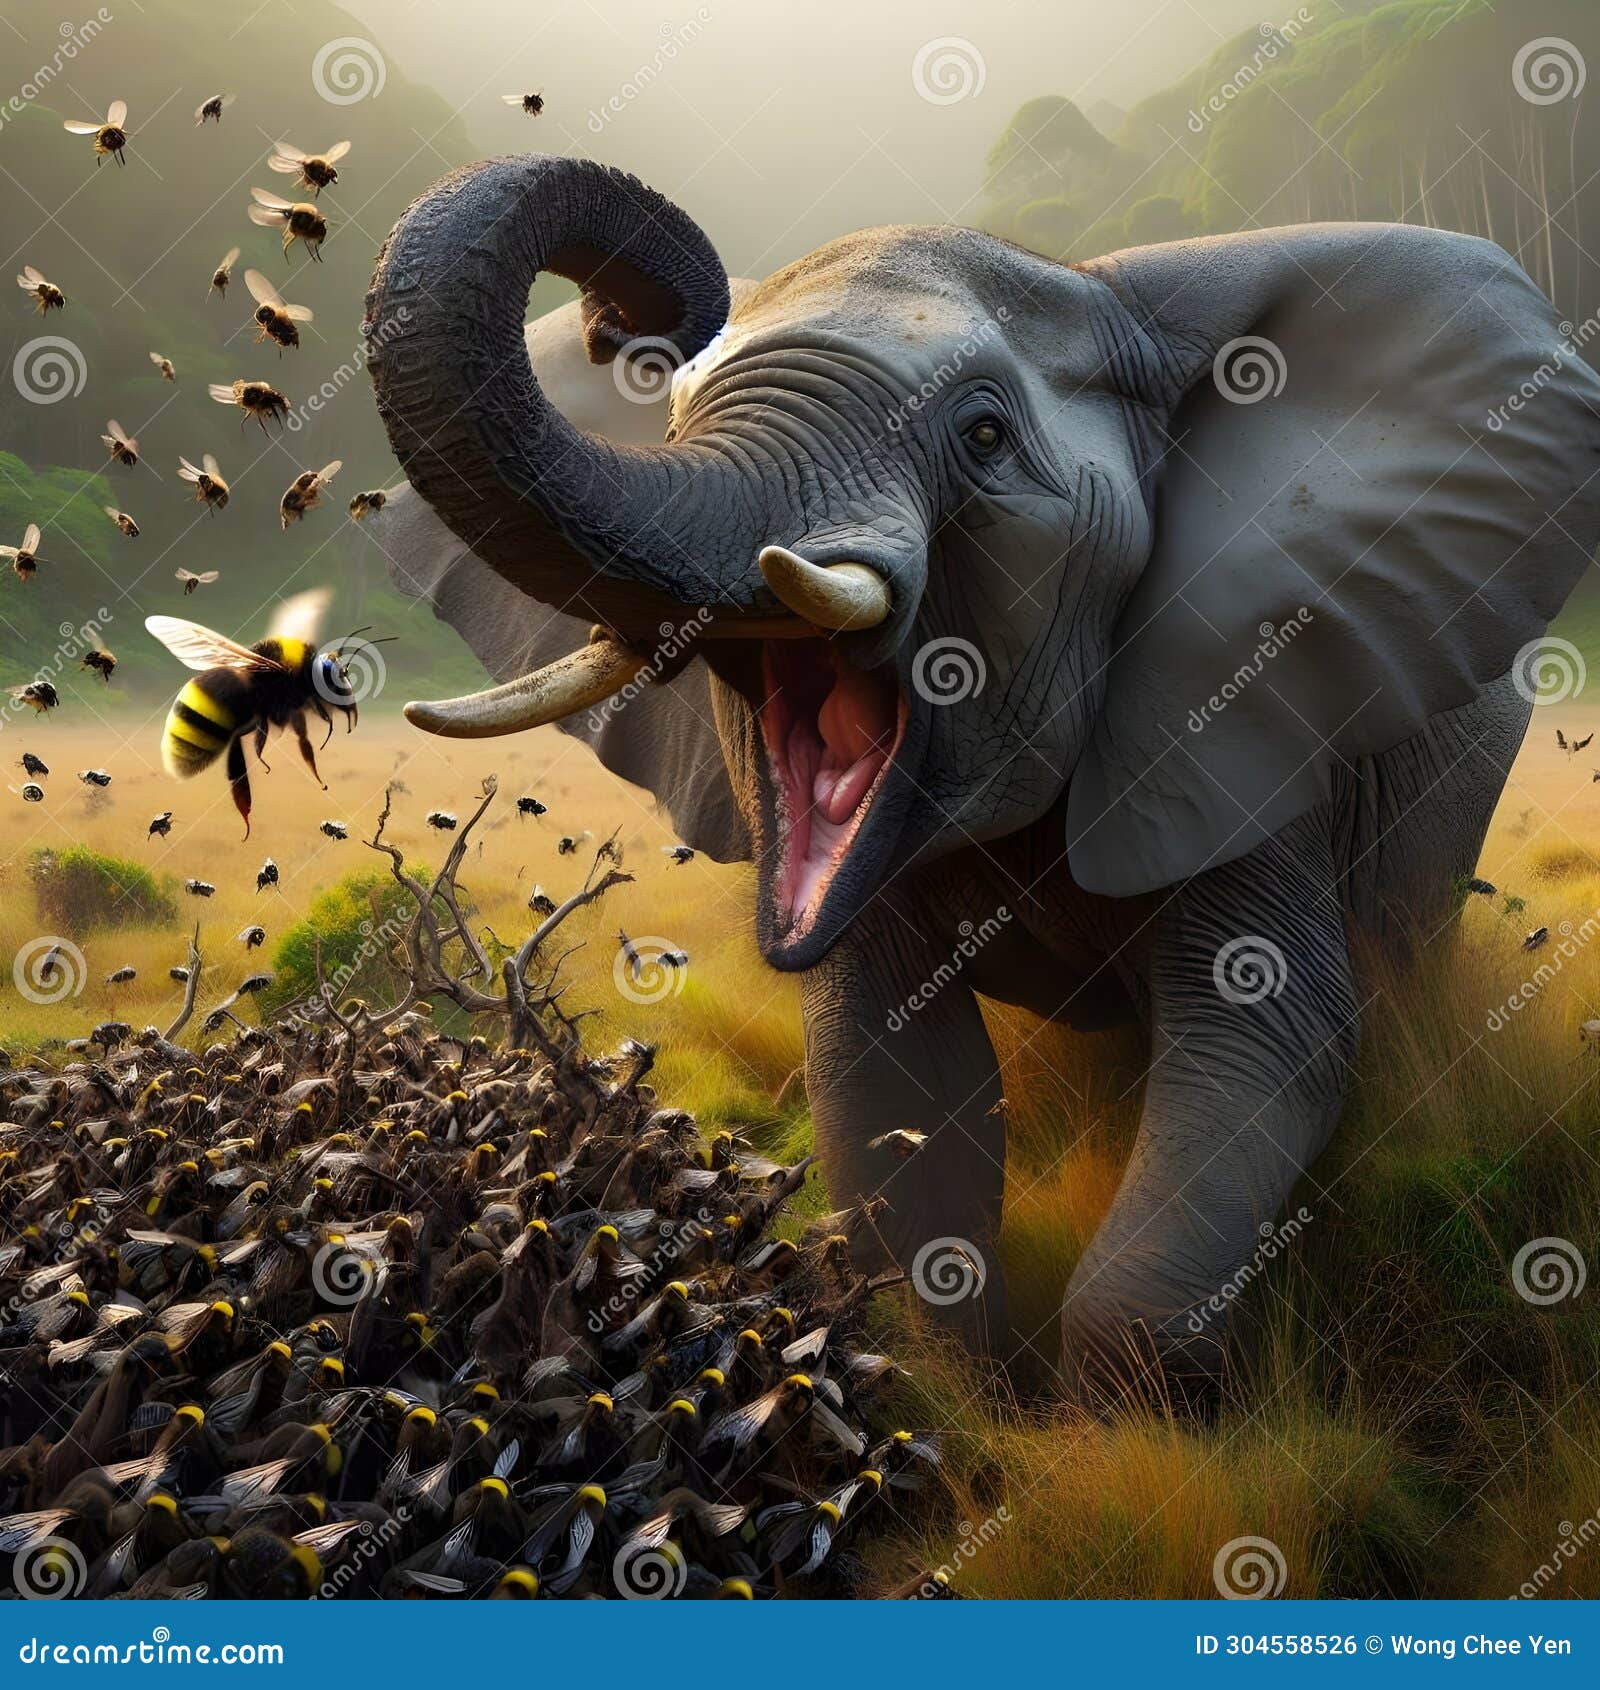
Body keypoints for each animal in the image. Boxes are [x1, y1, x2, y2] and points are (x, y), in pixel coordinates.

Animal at [363, 153, 1600, 1395]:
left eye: (986, 436)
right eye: (668, 418)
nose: (629, 316)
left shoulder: (1250, 714)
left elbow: (1270, 1039)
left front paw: (1124, 1421)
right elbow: (893, 1074)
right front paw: (958, 1395)